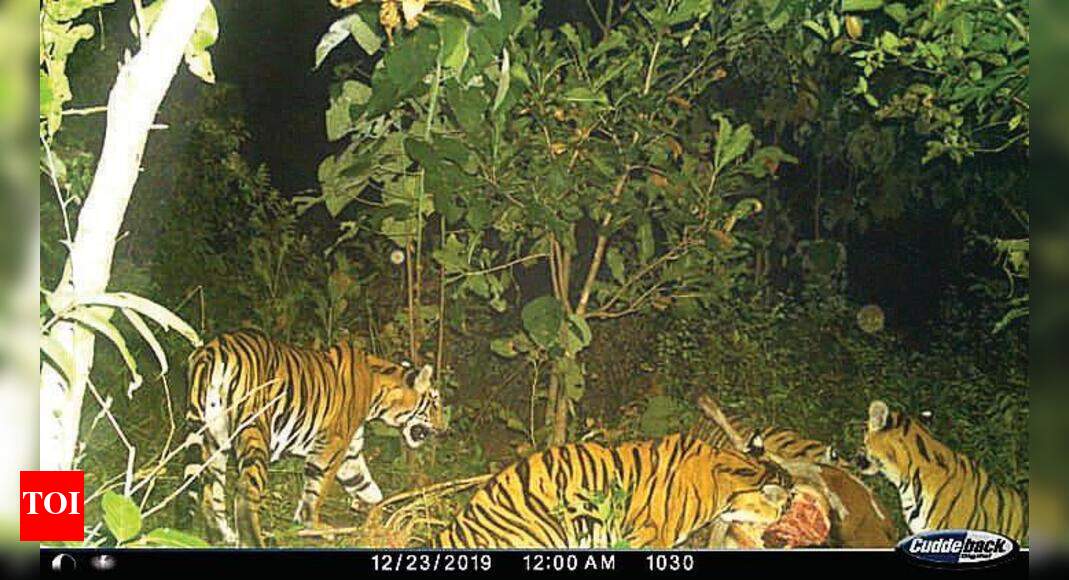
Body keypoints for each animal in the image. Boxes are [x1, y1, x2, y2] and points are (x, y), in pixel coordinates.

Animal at [185, 329, 446, 546]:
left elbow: (363, 482)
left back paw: (221, 536)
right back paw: (250, 540)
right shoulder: (333, 443)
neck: (377, 389)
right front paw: (313, 524)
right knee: (244, 491)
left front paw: (372, 507)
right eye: (434, 403)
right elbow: (317, 487)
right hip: (255, 431)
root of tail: (213, 351)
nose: (444, 429)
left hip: (213, 438)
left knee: (210, 492)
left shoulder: (351, 450)